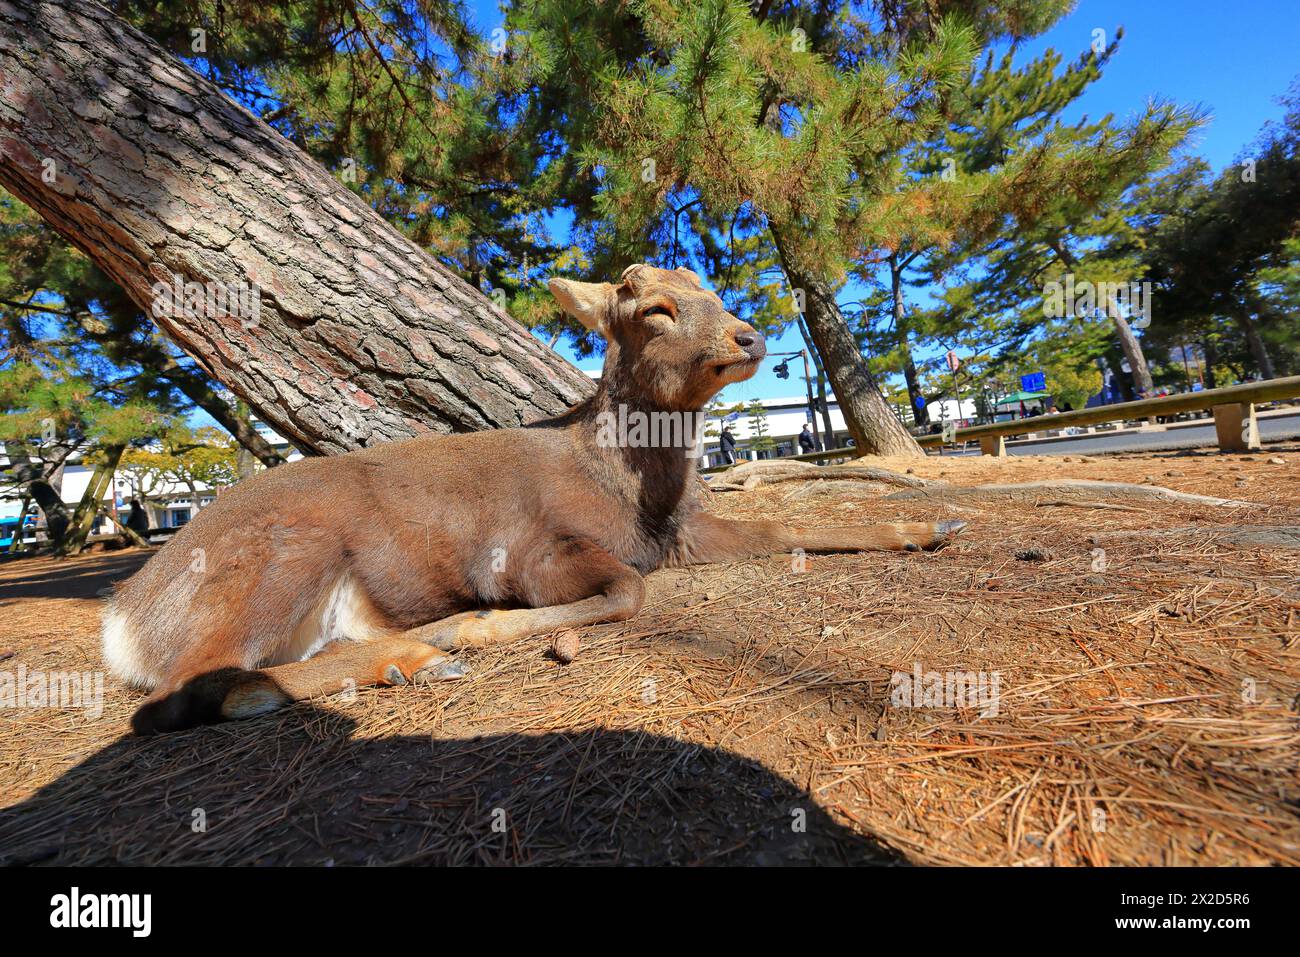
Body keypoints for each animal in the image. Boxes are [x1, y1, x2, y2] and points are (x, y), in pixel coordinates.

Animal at [107, 265, 964, 733]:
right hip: (282, 550)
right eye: (652, 309)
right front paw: (479, 625)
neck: (630, 492)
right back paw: (419, 655)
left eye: (713, 292)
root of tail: (122, 622)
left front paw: (933, 523)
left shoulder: (683, 533)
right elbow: (626, 590)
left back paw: (406, 658)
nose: (749, 336)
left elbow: (791, 523)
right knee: (177, 693)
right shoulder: (526, 548)